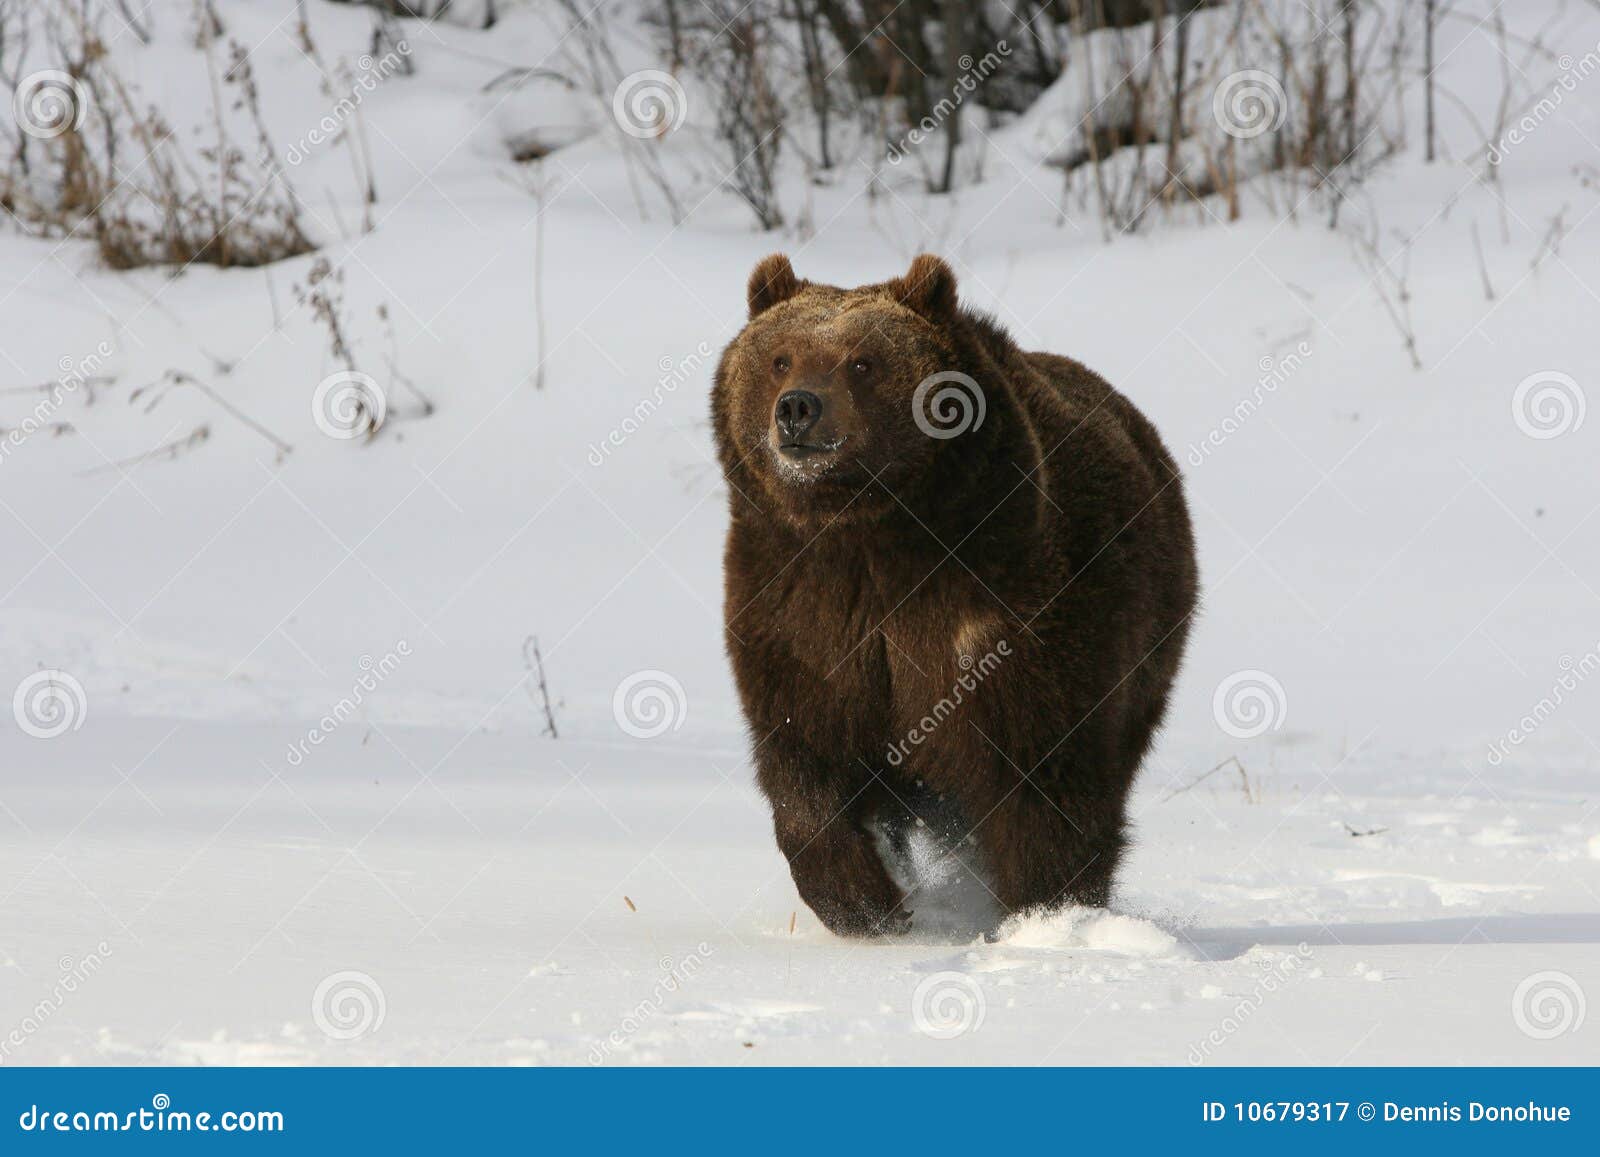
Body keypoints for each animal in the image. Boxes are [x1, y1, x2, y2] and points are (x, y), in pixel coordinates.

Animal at [711, 253, 1198, 937]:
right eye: (780, 357)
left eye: (863, 361)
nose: (798, 408)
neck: (875, 532)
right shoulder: (799, 605)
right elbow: (805, 752)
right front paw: (866, 903)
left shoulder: (1011, 606)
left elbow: (1042, 771)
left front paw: (1046, 910)